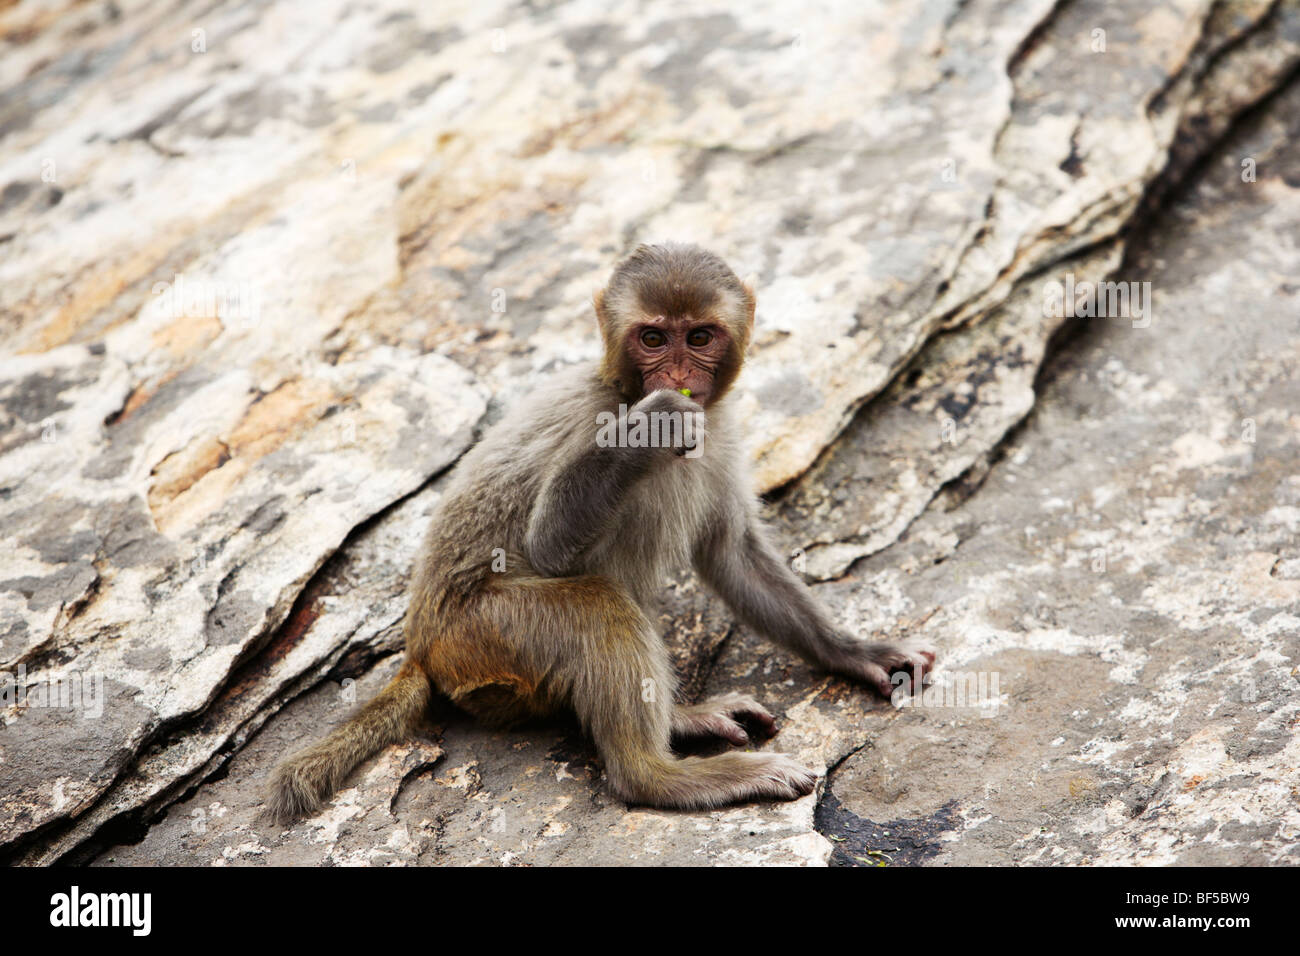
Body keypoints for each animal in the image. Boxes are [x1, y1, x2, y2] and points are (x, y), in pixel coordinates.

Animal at [267, 241, 935, 823]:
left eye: (698, 337)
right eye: (652, 338)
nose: (676, 371)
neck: (623, 387)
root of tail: (422, 648)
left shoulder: (719, 429)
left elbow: (732, 553)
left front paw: (856, 653)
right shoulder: (592, 419)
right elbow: (547, 547)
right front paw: (648, 431)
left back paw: (679, 720)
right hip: (484, 636)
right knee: (595, 606)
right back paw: (664, 776)